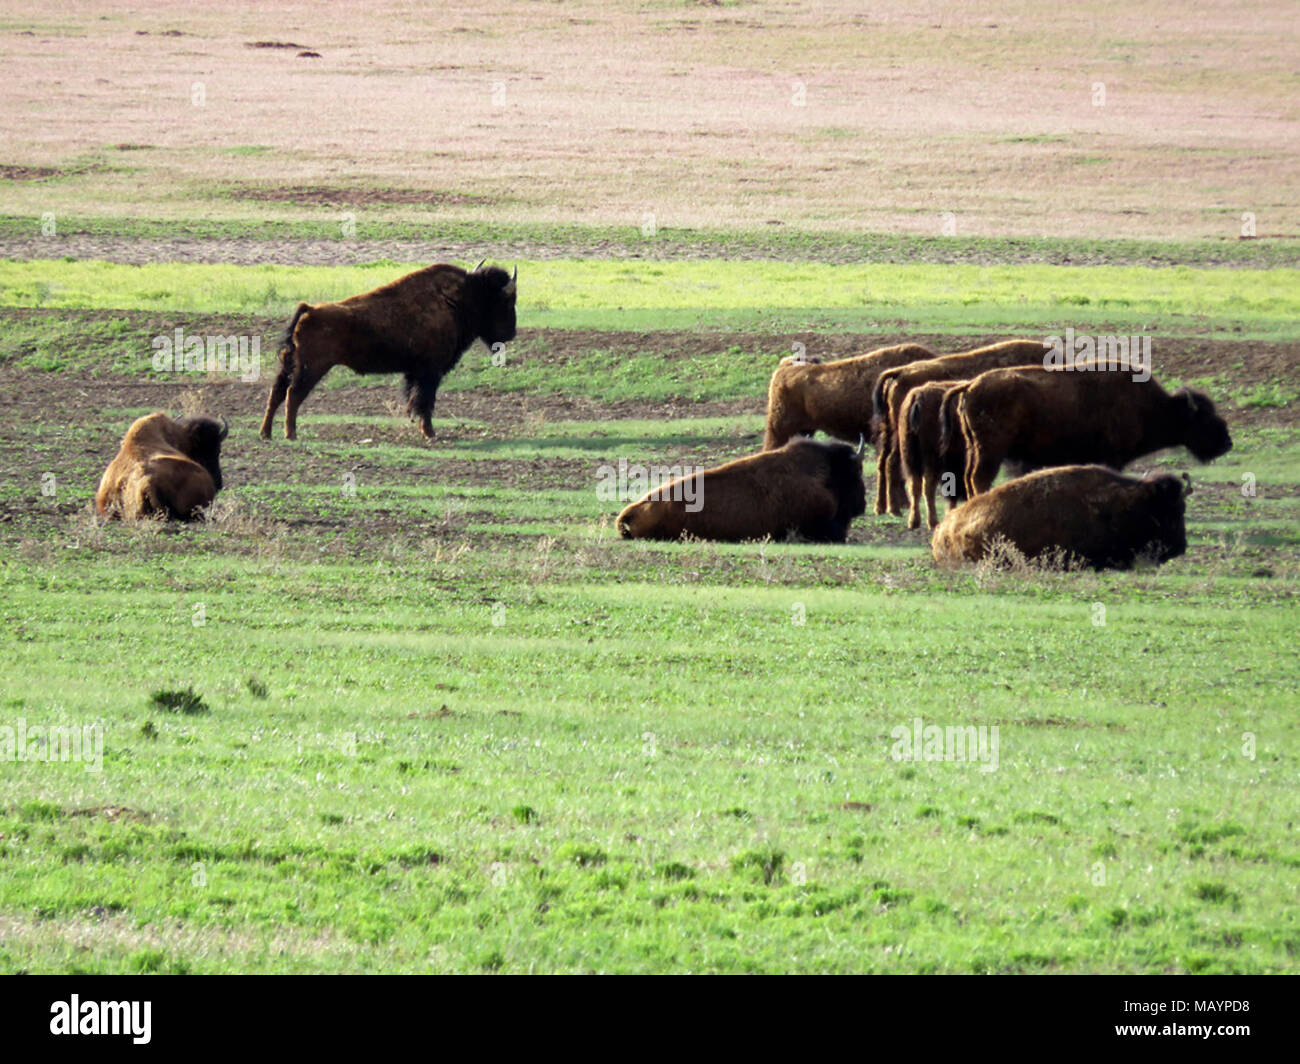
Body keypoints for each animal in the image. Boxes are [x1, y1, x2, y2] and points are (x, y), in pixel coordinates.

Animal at [260, 261, 517, 441]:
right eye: (506, 301)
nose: (511, 333)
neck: (456, 299)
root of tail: (309, 310)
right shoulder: (430, 371)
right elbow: (425, 401)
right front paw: (430, 433)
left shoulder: (415, 372)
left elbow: (414, 400)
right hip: (311, 368)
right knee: (293, 394)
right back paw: (291, 434)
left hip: (289, 364)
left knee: (277, 392)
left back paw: (266, 434)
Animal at [949, 363, 1232, 498]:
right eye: (1204, 418)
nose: (1227, 443)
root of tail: (971, 384)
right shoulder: (1112, 457)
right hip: (991, 451)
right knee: (980, 478)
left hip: (975, 448)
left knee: (969, 477)